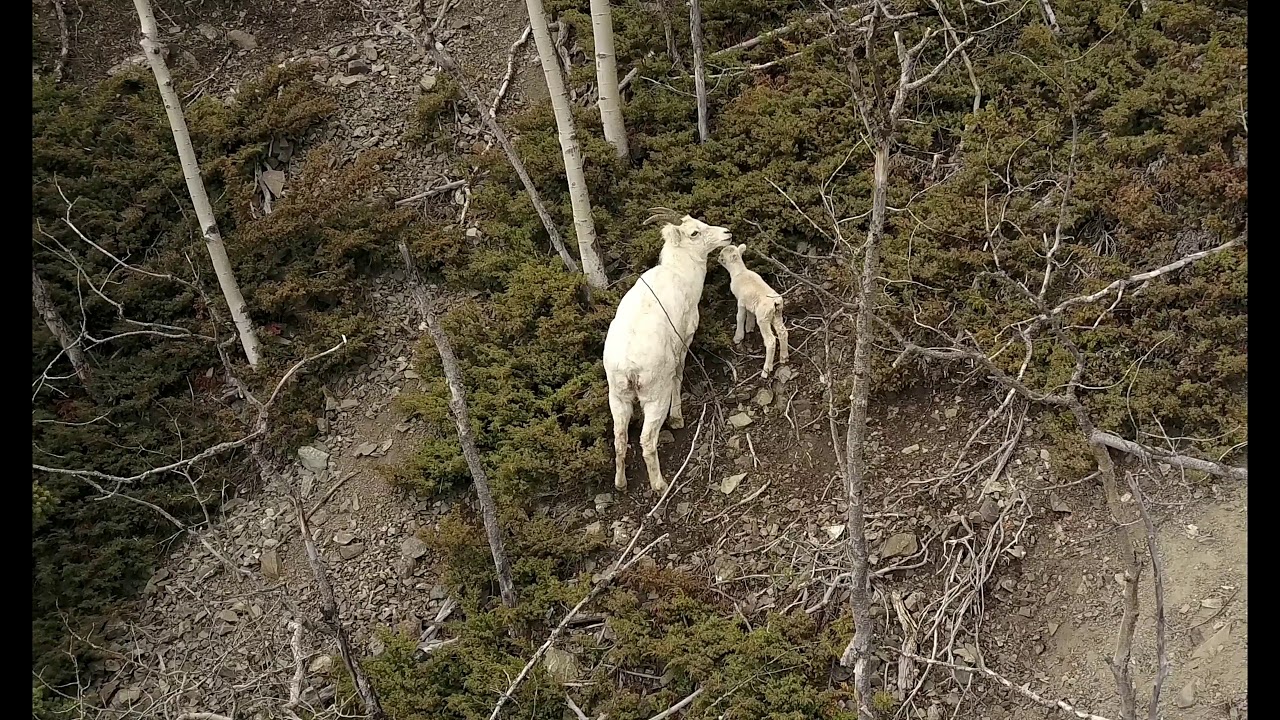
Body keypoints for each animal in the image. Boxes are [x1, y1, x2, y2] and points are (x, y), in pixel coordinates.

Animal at [603, 208, 734, 493]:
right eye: (694, 232)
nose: (727, 233)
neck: (680, 274)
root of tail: (629, 368)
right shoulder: (684, 339)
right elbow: (678, 374)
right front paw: (677, 419)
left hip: (617, 398)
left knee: (619, 439)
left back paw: (620, 484)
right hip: (654, 397)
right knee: (647, 440)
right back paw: (660, 485)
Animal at [717, 243, 789, 378]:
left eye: (722, 255)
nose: (718, 257)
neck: (739, 272)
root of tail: (775, 303)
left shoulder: (740, 301)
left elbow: (740, 317)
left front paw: (738, 337)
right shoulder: (749, 303)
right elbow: (750, 314)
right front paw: (749, 328)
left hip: (763, 319)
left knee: (771, 341)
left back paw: (766, 371)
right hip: (777, 315)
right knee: (783, 332)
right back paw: (784, 357)